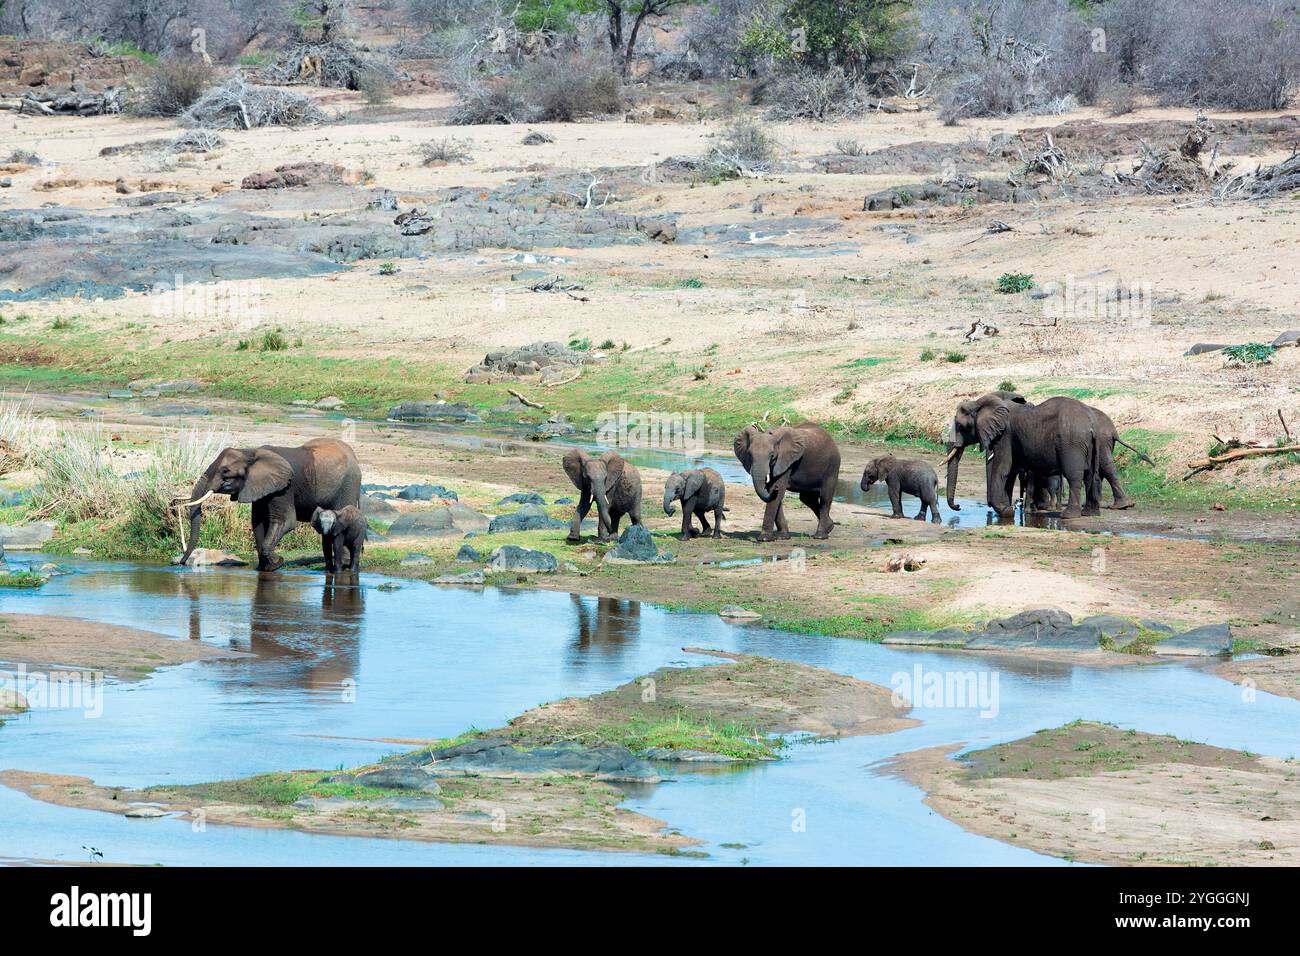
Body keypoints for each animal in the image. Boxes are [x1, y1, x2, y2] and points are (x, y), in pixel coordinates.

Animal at [174, 438, 361, 572]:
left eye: (225, 472)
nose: (180, 563)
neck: (250, 452)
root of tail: (353, 454)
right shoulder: (258, 487)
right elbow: (258, 523)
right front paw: (263, 568)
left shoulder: (284, 487)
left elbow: (285, 521)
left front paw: (277, 563)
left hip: (348, 484)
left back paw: (343, 565)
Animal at [943, 393, 1100, 520]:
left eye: (960, 425)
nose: (958, 506)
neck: (978, 403)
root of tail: (1092, 423)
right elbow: (1010, 472)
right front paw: (1007, 511)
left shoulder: (1005, 435)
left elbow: (1003, 468)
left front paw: (1006, 511)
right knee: (1090, 475)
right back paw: (1089, 513)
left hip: (1072, 443)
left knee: (1074, 476)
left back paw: (1068, 516)